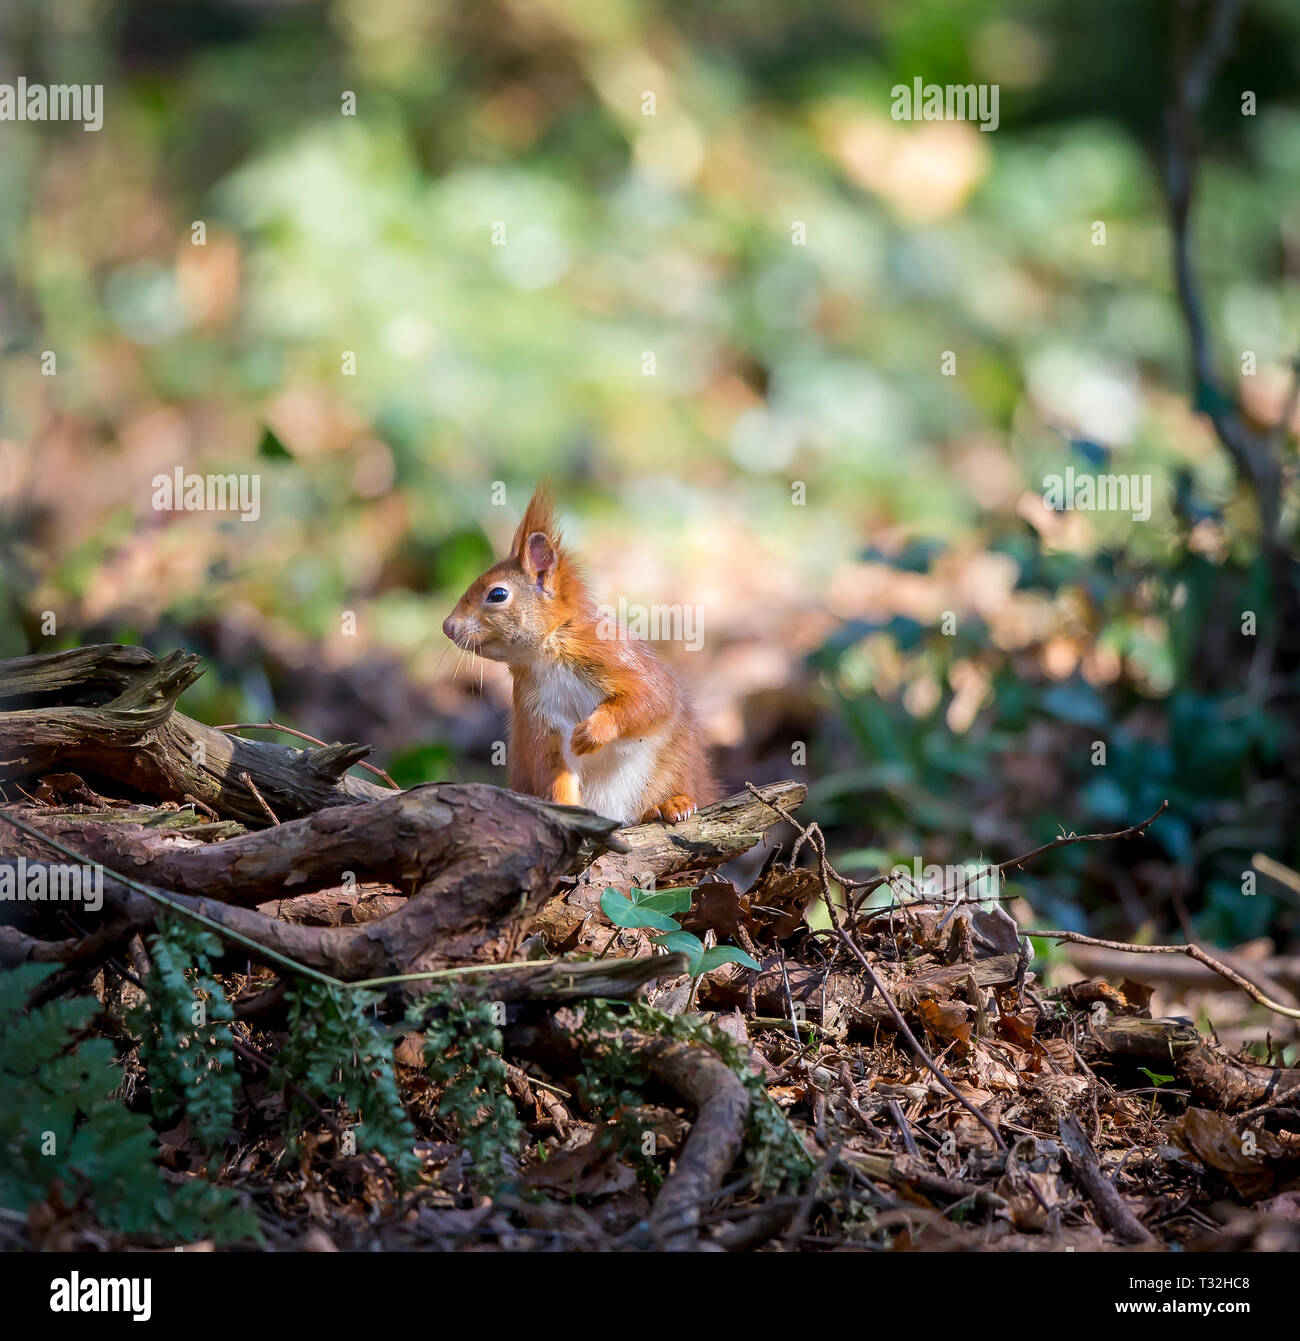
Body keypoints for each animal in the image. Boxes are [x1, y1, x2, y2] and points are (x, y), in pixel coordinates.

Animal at [442, 486, 715, 826]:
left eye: (498, 594)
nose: (448, 627)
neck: (546, 656)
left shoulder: (615, 655)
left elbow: (651, 698)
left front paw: (594, 731)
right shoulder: (536, 716)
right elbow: (553, 770)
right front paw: (565, 811)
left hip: (674, 766)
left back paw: (672, 803)